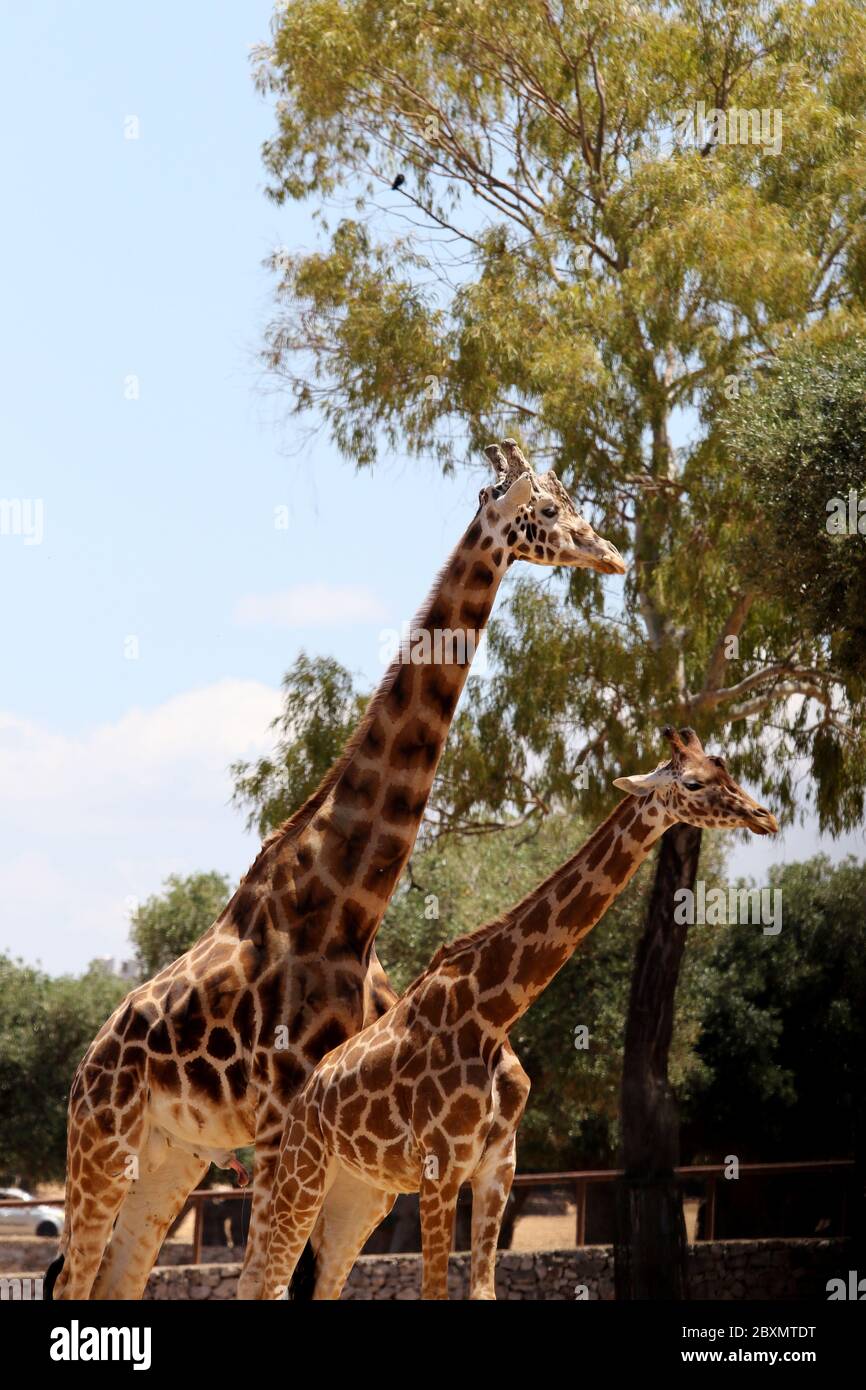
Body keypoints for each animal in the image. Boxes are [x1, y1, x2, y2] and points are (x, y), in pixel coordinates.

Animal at [47, 439, 625, 1301]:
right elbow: (264, 1282)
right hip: (103, 1139)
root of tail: (86, 1059)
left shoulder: (350, 1155)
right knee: (77, 1276)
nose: (612, 554)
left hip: (173, 1155)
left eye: (572, 501)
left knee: (121, 1276)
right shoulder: (283, 1125)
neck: (349, 906)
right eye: (547, 509)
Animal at [258, 726, 778, 1301]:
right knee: (270, 1280)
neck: (493, 1013)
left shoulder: (498, 1167)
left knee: (321, 1282)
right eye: (693, 783)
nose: (765, 817)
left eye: (728, 771)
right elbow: (435, 1290)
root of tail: (301, 1099)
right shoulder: (441, 1168)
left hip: (363, 1193)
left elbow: (483, 1290)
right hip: (302, 1174)